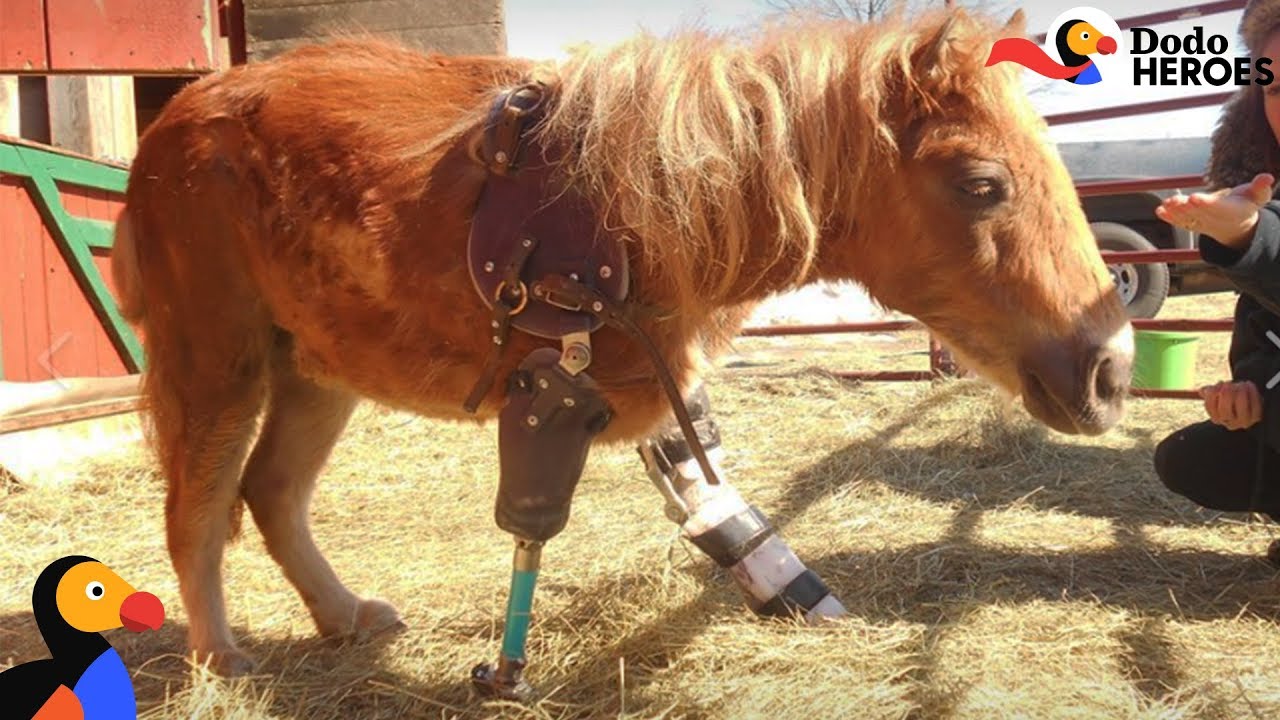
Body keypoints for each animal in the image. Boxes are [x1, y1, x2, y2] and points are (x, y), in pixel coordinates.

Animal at [109, 6, 1134, 683]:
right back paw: (222, 659)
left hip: (315, 366)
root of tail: (174, 120)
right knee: (198, 506)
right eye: (982, 185)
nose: (1111, 371)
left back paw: (345, 618)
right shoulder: (552, 399)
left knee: (273, 493)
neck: (650, 206)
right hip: (218, 357)